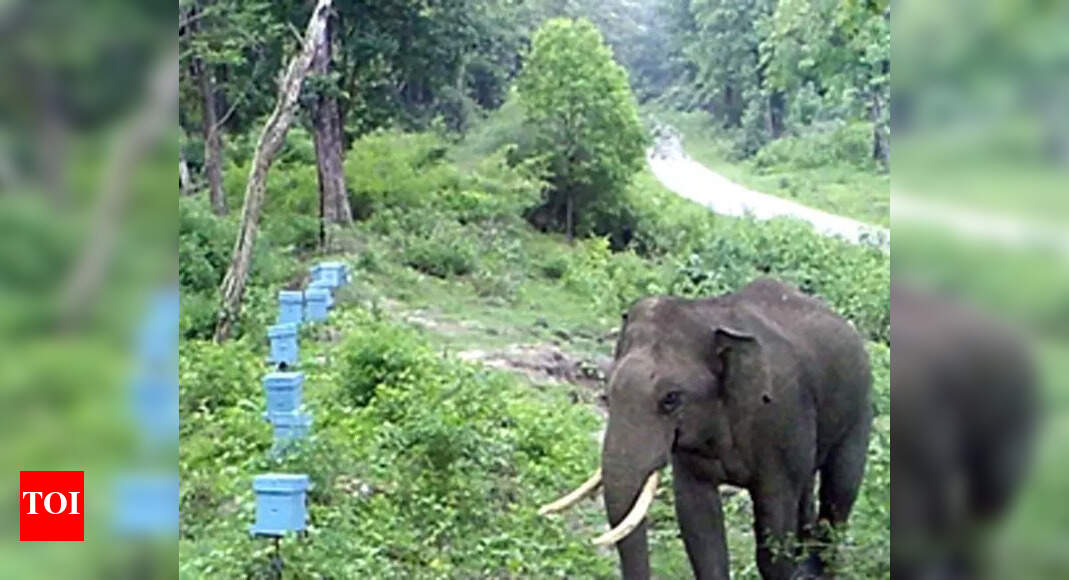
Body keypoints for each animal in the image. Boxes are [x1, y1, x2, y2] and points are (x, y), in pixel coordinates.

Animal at [539, 278, 873, 579]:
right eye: (607, 393)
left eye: (671, 399)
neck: (707, 315)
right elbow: (699, 527)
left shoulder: (781, 416)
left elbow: (774, 530)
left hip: (859, 408)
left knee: (839, 491)